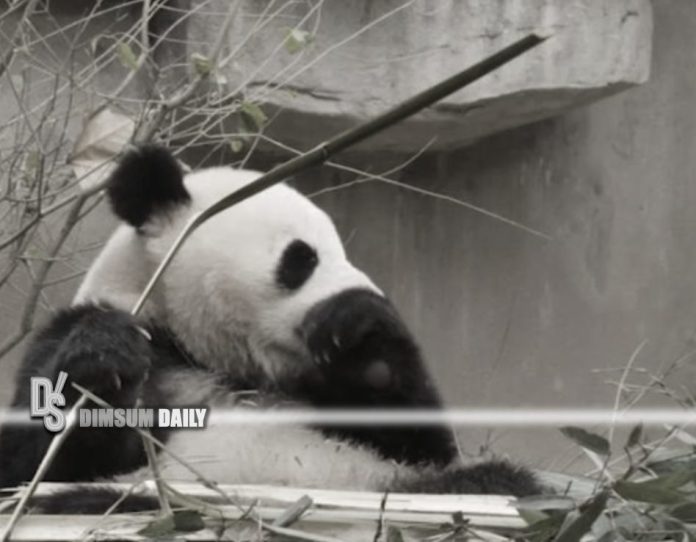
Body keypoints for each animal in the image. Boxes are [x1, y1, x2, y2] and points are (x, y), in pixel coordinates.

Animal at [0, 145, 540, 511]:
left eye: (342, 251)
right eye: (301, 257)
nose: (356, 291)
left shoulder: (325, 399)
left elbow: (422, 441)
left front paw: (358, 328)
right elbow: (32, 462)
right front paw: (104, 361)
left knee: (493, 482)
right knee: (95, 499)